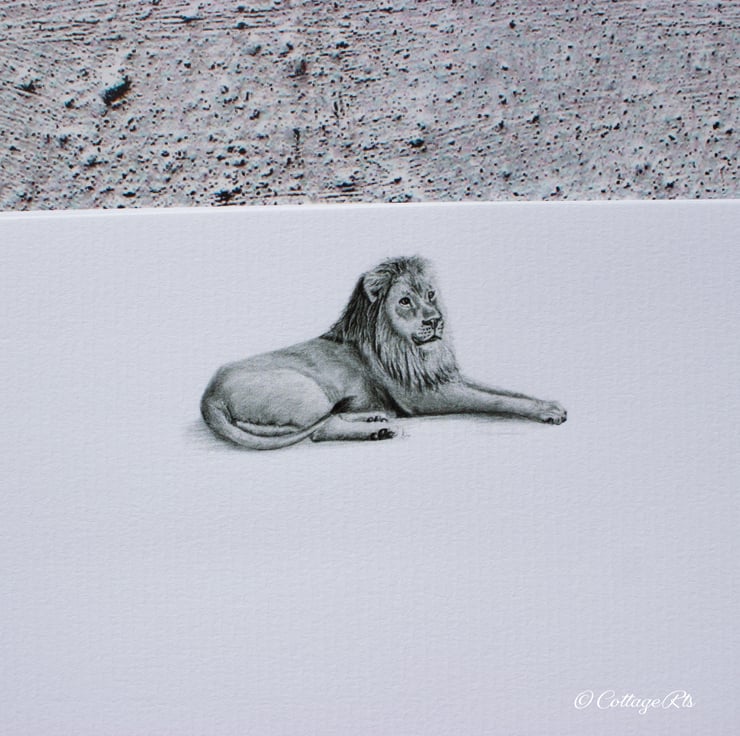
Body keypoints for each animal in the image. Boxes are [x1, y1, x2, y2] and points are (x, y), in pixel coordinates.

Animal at [201, 256, 566, 449]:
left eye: (431, 294)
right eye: (404, 301)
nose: (436, 321)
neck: (411, 350)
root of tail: (209, 396)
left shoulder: (445, 378)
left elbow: (502, 390)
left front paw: (549, 403)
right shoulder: (426, 397)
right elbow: (495, 399)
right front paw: (550, 411)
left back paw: (375, 419)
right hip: (310, 392)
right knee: (320, 429)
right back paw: (379, 430)